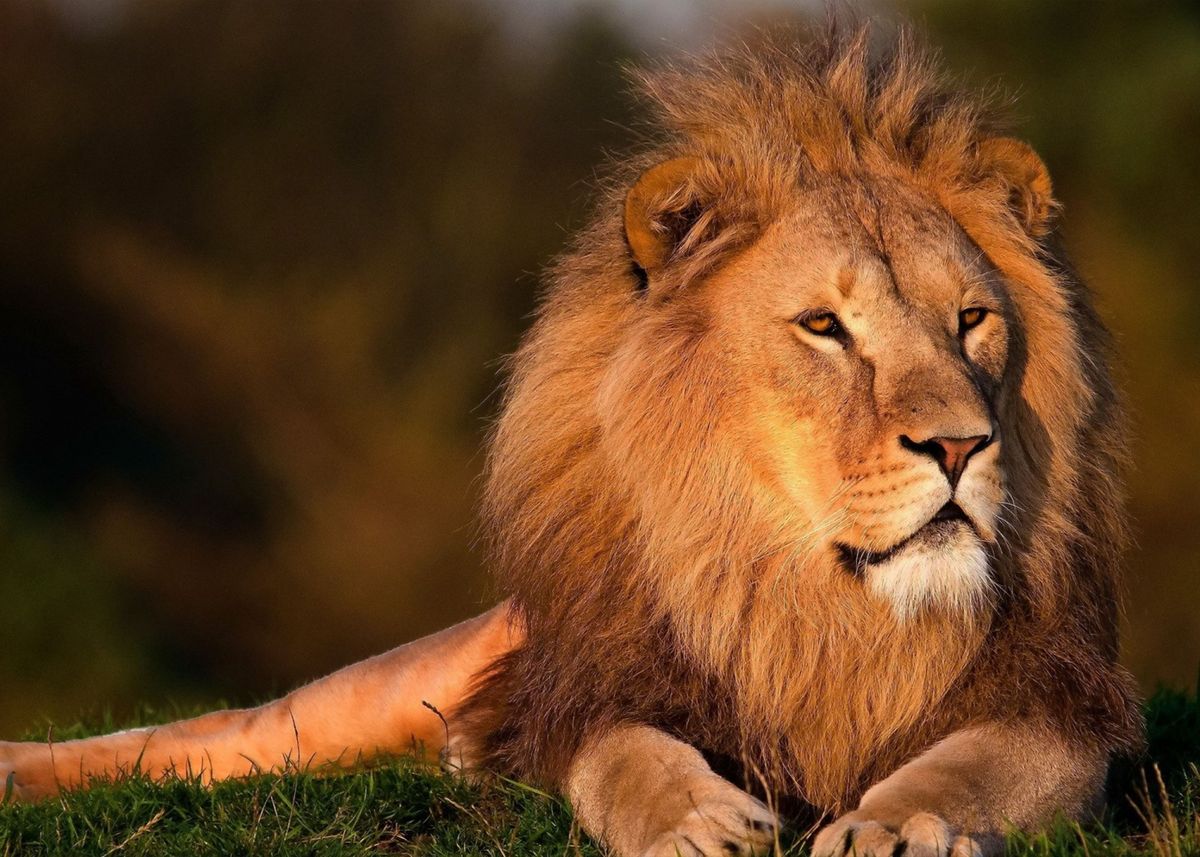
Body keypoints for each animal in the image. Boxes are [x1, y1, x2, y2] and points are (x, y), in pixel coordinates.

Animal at [0, 24, 1143, 857]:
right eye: (825, 326)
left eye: (971, 319)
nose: (960, 447)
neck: (813, 603)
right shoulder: (588, 689)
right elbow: (625, 757)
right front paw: (696, 821)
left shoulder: (1059, 705)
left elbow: (974, 763)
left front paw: (898, 824)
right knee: (213, 737)